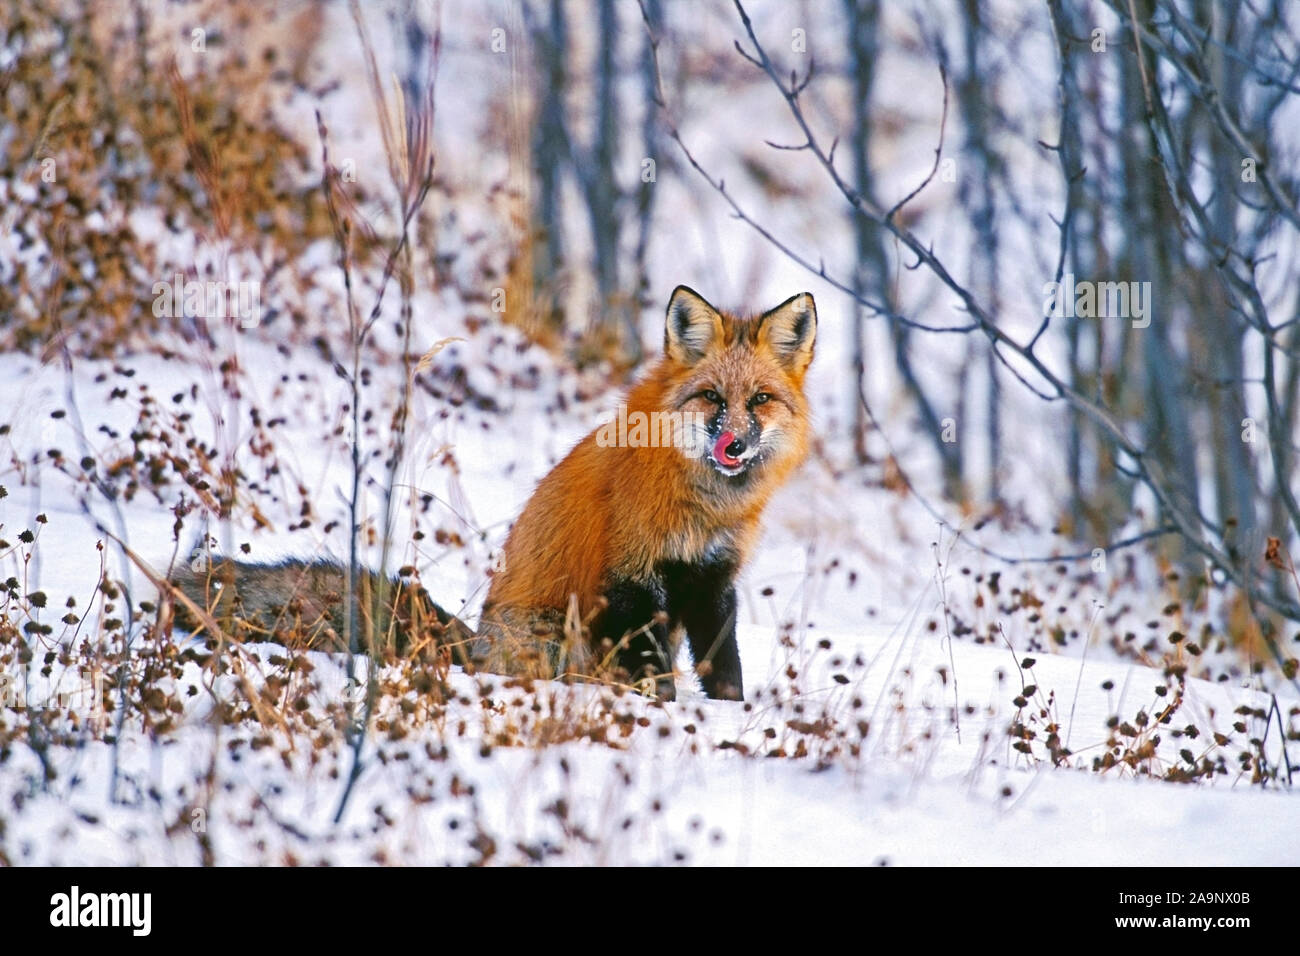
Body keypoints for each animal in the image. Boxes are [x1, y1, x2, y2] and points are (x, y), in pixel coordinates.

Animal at [170, 286, 817, 701]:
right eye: (711, 397)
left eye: (759, 400)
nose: (734, 443)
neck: (704, 505)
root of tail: (474, 647)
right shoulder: (631, 580)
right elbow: (654, 675)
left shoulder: (712, 580)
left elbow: (725, 669)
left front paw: (726, 715)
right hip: (554, 635)